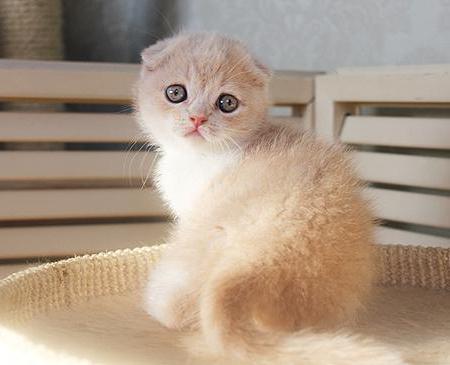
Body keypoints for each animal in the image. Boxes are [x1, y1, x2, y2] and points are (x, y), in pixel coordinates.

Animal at [135, 32, 400, 362]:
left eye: (226, 102)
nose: (197, 118)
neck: (200, 157)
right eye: (175, 93)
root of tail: (261, 261)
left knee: (172, 309)